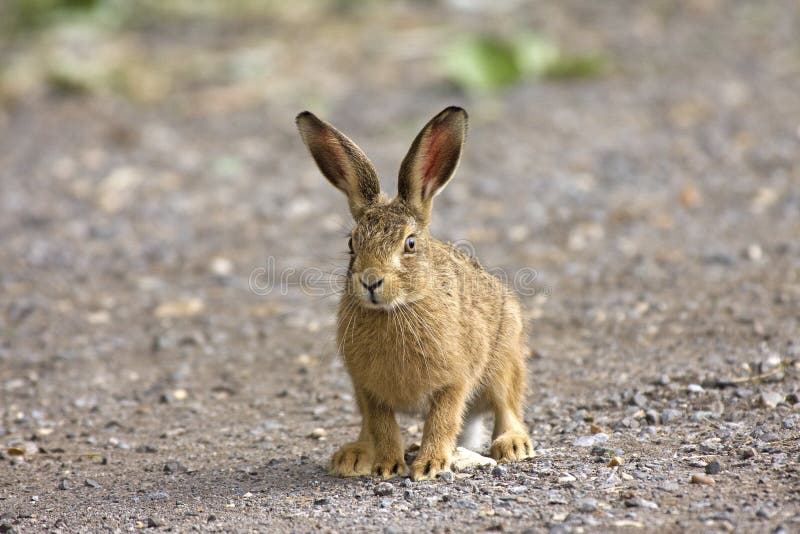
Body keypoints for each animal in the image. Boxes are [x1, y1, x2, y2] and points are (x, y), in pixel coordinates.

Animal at [296, 106, 532, 481]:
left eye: (409, 244)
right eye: (351, 244)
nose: (371, 281)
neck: (397, 308)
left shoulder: (453, 382)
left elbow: (442, 420)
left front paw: (430, 465)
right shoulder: (368, 389)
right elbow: (382, 426)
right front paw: (388, 466)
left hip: (505, 358)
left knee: (506, 404)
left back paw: (512, 445)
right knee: (367, 428)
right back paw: (355, 456)